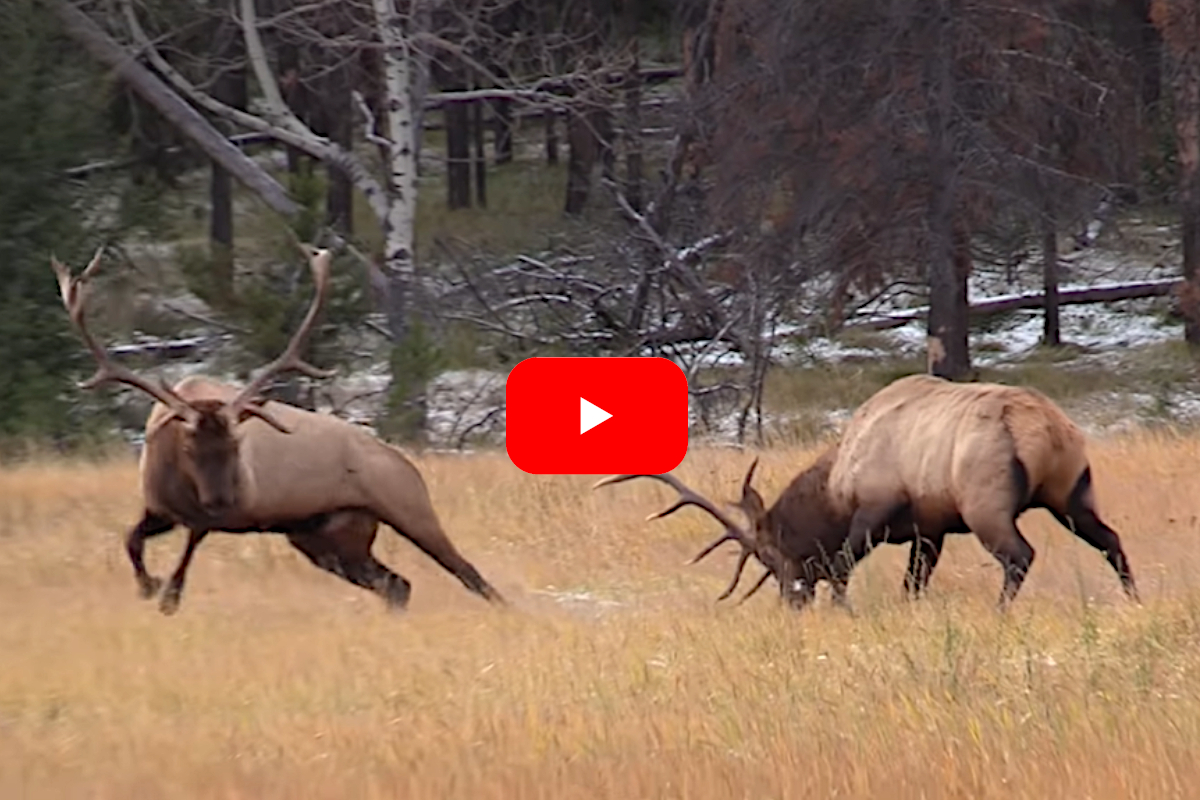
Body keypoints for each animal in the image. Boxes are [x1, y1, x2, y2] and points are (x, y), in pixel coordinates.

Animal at [52, 246, 505, 614]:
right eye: (191, 448)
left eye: (236, 446)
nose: (222, 498)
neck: (180, 478)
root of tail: (405, 462)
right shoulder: (160, 509)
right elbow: (131, 539)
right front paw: (149, 586)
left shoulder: (217, 513)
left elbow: (188, 546)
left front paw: (168, 593)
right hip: (328, 537)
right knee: (397, 584)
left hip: (407, 507)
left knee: (468, 573)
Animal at [596, 374, 1140, 610]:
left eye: (773, 557)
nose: (791, 604)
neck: (836, 486)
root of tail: (1040, 427)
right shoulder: (930, 528)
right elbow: (913, 583)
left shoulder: (877, 507)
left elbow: (842, 566)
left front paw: (844, 609)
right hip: (1071, 490)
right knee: (1111, 538)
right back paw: (1133, 599)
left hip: (986, 501)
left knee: (1019, 555)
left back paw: (1000, 612)